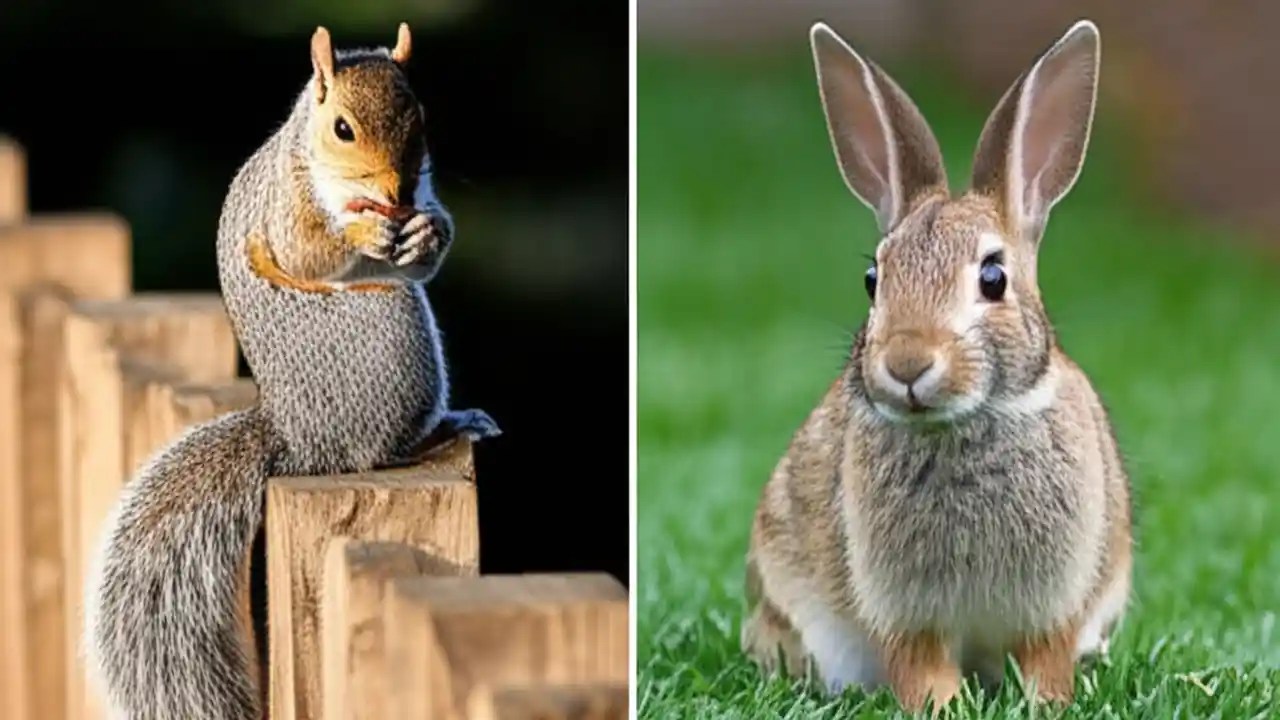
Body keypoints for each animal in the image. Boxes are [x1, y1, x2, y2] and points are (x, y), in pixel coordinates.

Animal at [84, 23, 500, 720]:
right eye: (342, 129)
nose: (398, 194)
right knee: (368, 452)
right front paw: (363, 234)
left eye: (422, 115)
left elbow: (425, 252)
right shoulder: (288, 206)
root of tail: (297, 437)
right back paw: (437, 432)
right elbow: (306, 252)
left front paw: (426, 232)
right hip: (391, 333)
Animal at [740, 19, 1132, 713]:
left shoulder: (1053, 605)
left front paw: (1046, 704)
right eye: (873, 280)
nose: (906, 364)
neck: (965, 424)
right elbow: (919, 665)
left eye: (993, 278)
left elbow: (1045, 659)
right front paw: (946, 708)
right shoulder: (903, 611)